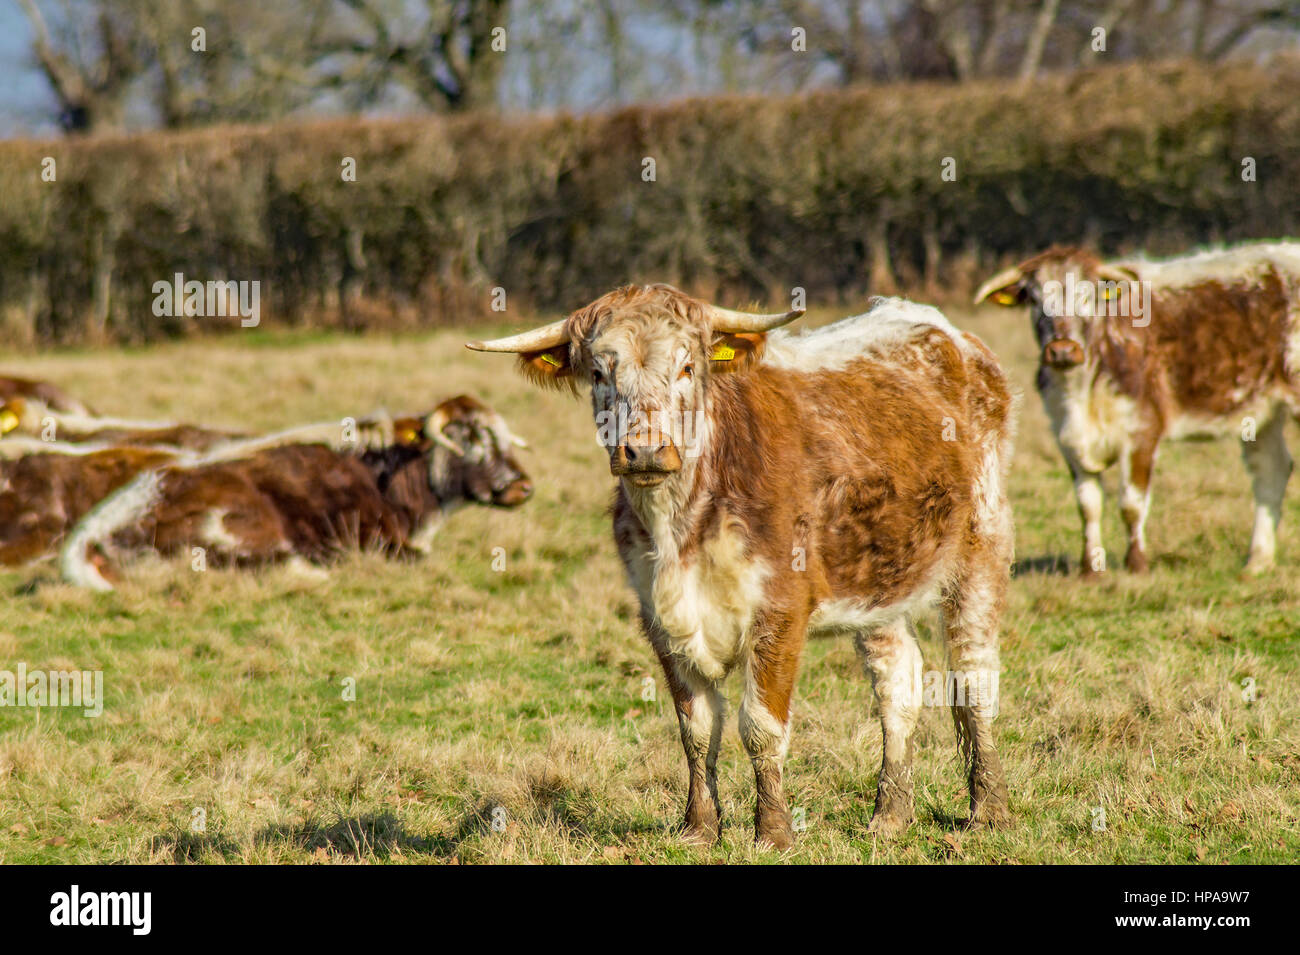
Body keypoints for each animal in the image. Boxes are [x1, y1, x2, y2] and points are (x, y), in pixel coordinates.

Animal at [467, 286, 1016, 847]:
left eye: (688, 367)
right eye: (599, 373)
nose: (644, 451)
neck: (682, 526)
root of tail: (938, 328)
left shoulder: (780, 610)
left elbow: (759, 727)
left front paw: (773, 830)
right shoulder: (660, 618)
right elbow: (695, 730)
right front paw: (699, 826)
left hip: (982, 547)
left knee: (973, 680)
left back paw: (988, 809)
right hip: (879, 581)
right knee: (897, 683)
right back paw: (889, 815)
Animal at [974, 241, 1300, 575]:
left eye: (1088, 295)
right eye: (1035, 298)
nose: (1062, 350)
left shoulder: (1142, 429)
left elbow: (1131, 503)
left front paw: (1136, 563)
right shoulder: (1066, 436)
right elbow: (1088, 504)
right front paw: (1090, 569)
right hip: (1262, 412)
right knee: (1271, 471)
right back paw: (1258, 561)